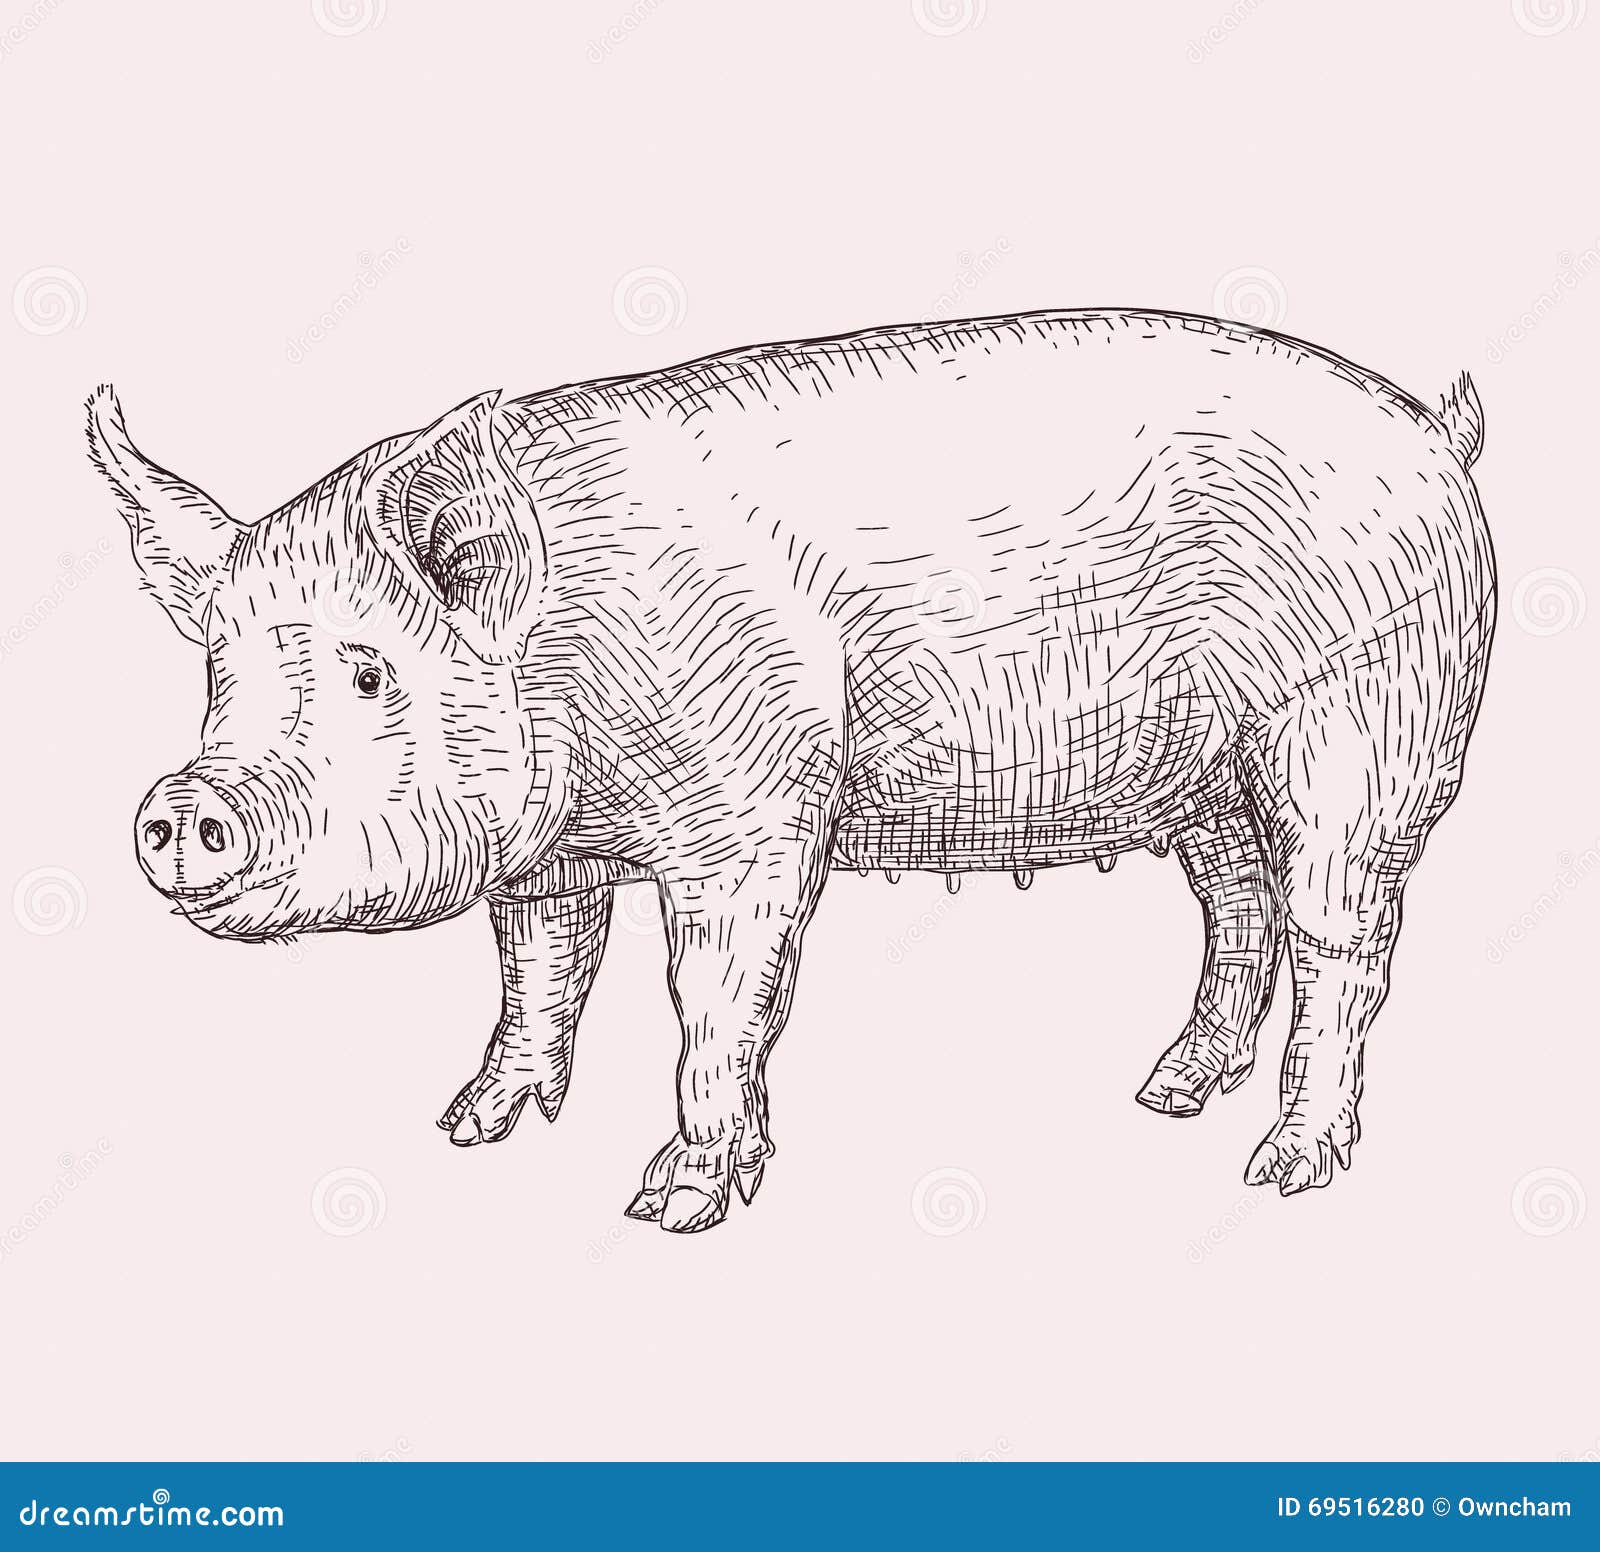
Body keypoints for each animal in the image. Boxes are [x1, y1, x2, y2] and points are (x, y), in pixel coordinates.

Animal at [89, 308, 1495, 1233]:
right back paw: (1165, 1093)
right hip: (1207, 780)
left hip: (1360, 738)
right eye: (217, 675)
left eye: (370, 670)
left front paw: (672, 1206)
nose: (182, 806)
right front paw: (472, 1126)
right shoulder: (553, 858)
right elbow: (542, 970)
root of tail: (1435, 432)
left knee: (1343, 938)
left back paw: (1281, 1166)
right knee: (1239, 907)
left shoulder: (750, 816)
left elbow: (715, 1001)